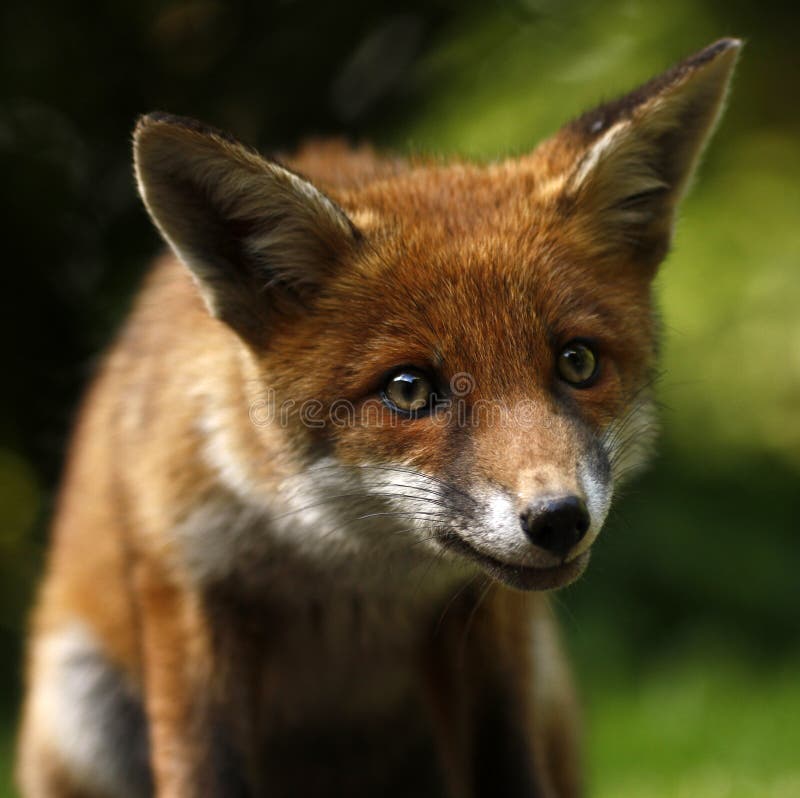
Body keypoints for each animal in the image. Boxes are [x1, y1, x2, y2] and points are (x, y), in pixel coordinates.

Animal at [17, 39, 740, 798]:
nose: (558, 520)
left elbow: (507, 768)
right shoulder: (190, 594)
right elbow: (204, 771)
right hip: (85, 712)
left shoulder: (484, 624)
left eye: (577, 362)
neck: (348, 571)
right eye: (409, 390)